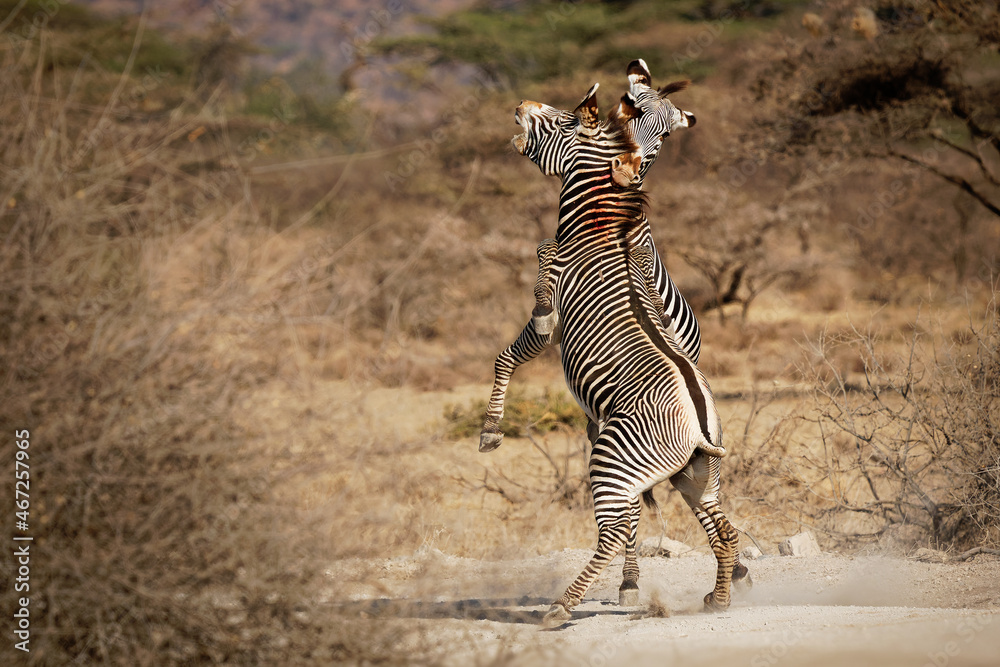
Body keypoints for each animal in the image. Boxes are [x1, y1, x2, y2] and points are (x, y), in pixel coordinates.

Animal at [482, 83, 750, 628]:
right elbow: (509, 351)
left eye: (565, 120)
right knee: (722, 527)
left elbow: (527, 311)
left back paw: (563, 606)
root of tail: (698, 425)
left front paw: (491, 429)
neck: (595, 225)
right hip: (697, 478)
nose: (519, 106)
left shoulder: (553, 312)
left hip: (612, 461)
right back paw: (718, 598)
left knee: (610, 532)